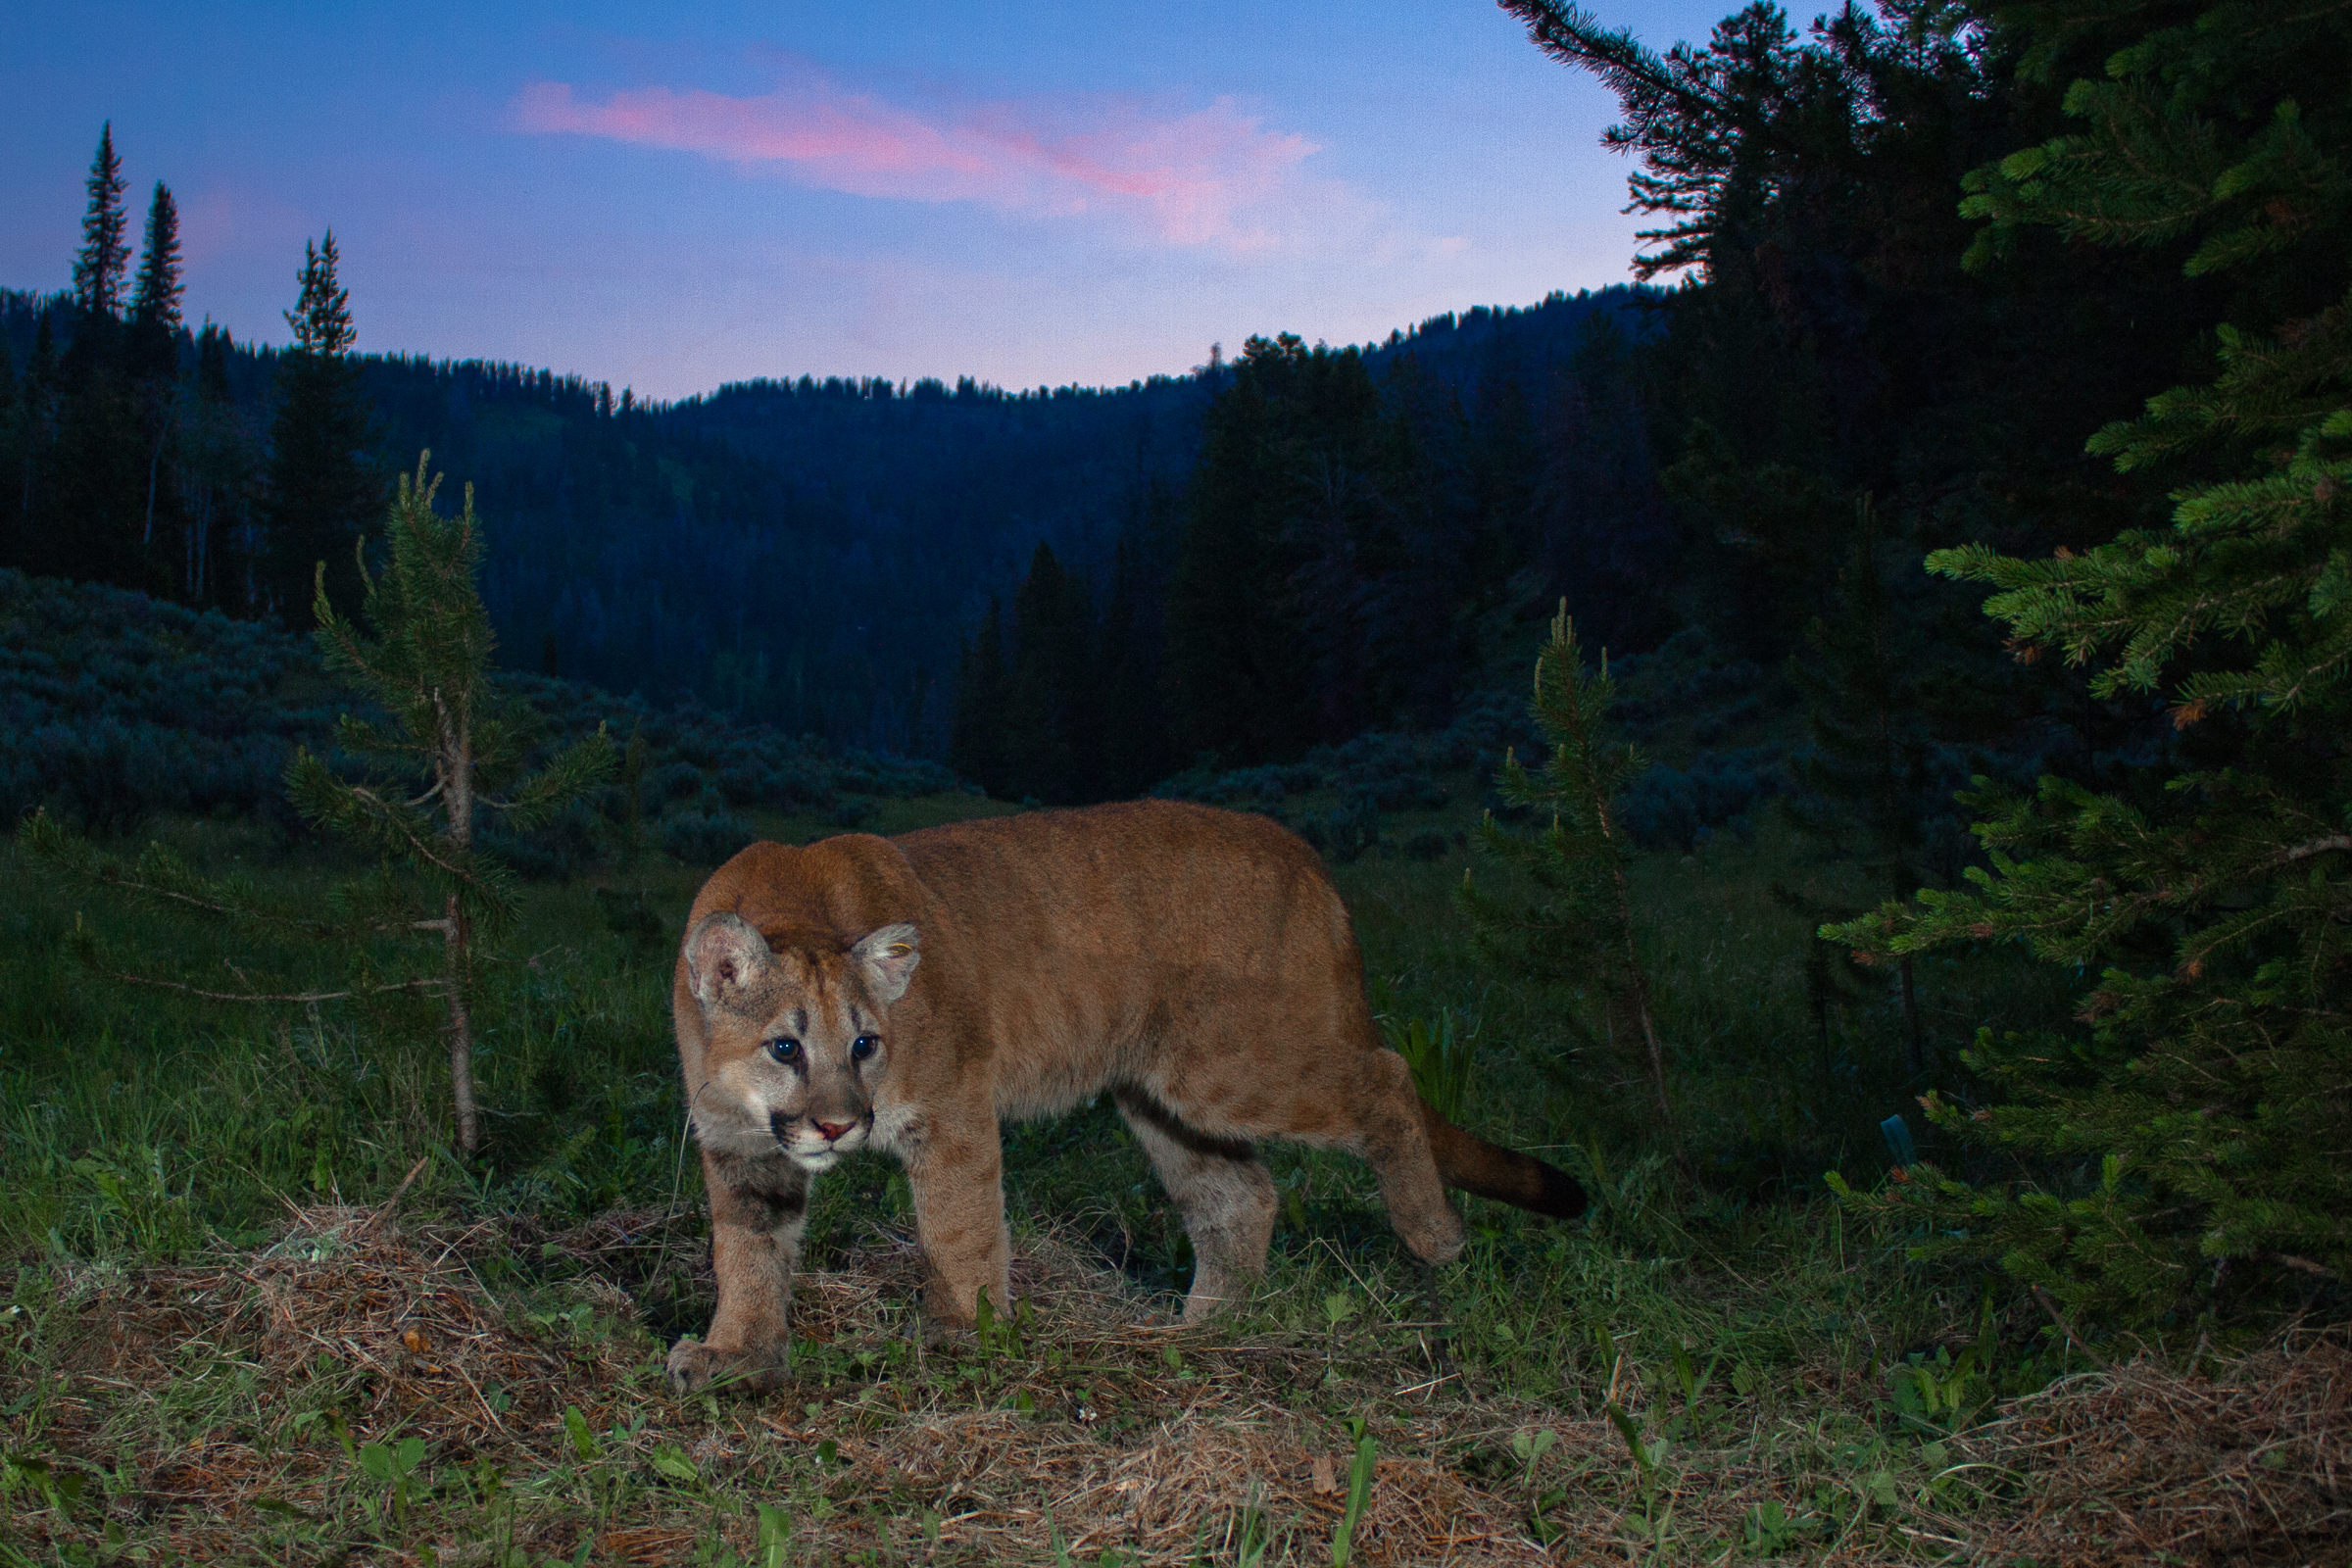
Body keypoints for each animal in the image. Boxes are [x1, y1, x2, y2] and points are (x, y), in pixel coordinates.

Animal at [663, 798, 1584, 1393]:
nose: (838, 1125)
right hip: (1163, 1095)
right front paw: (735, 1356)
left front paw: (966, 1340)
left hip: (1229, 1064)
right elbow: (746, 1252)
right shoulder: (740, 1148)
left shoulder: (951, 1110)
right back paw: (1201, 1329)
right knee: (1241, 1194)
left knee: (1386, 1076)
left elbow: (959, 1232)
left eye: (866, 1045)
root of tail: (1304, 852)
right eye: (786, 1047)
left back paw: (1434, 1235)